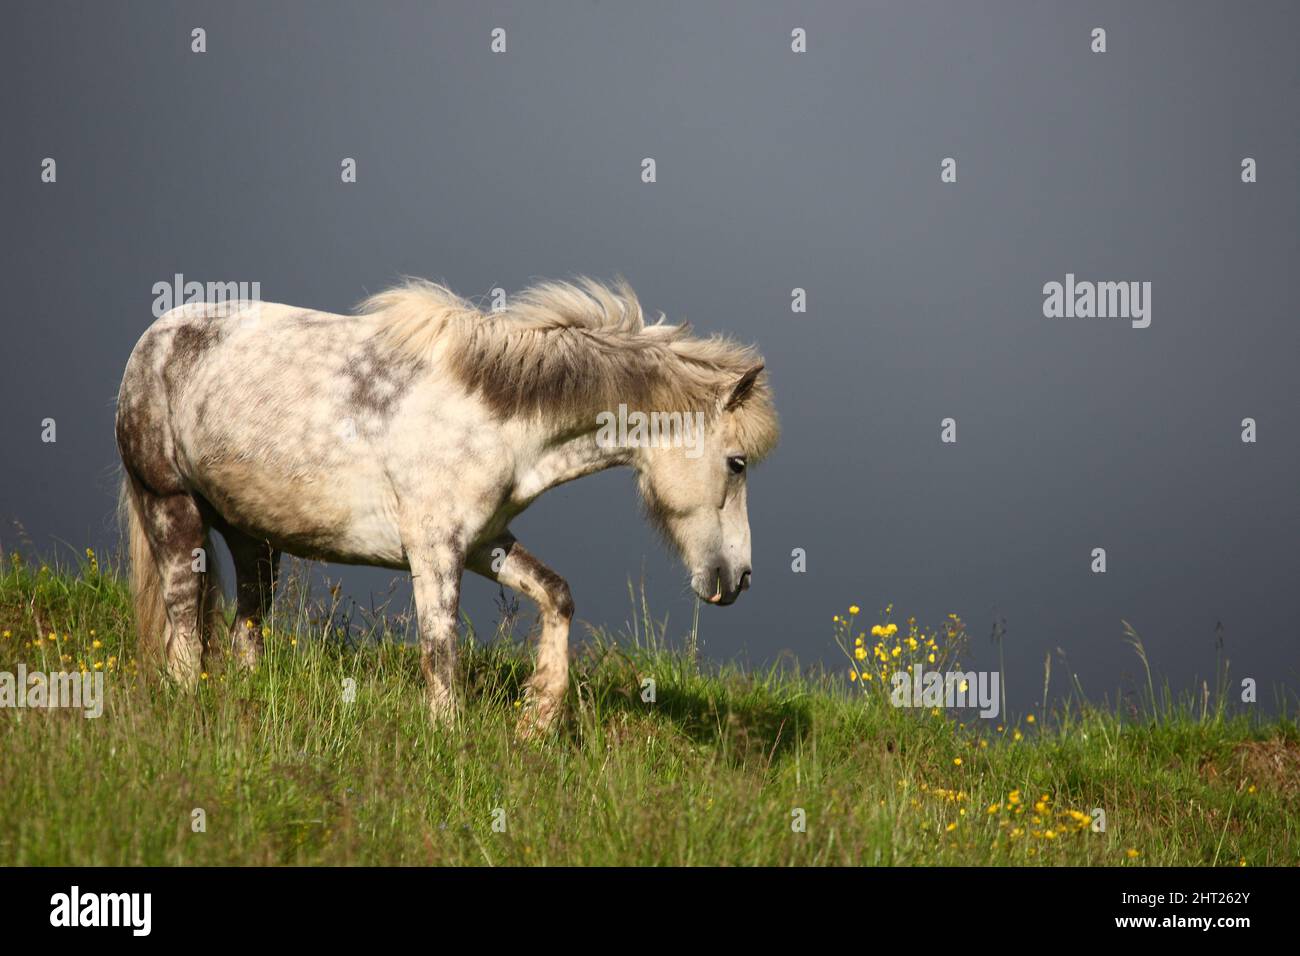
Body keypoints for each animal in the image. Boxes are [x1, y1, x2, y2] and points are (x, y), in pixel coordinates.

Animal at [115, 278, 778, 736]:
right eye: (737, 462)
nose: (741, 577)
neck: (495, 416)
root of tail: (153, 341)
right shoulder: (434, 553)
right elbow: (441, 651)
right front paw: (449, 737)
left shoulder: (484, 544)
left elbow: (556, 595)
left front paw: (537, 719)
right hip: (172, 510)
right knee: (183, 632)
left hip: (255, 541)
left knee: (245, 630)